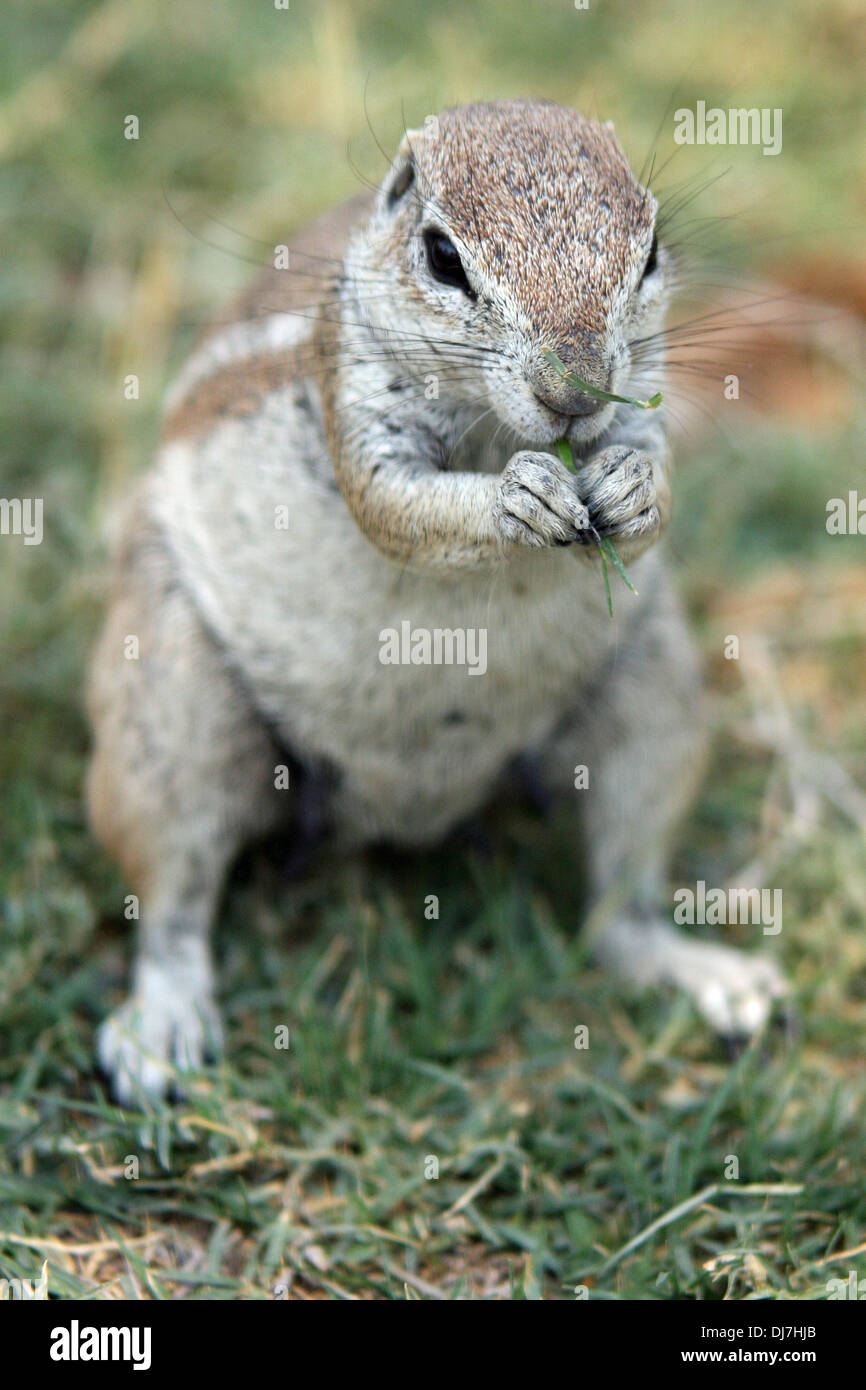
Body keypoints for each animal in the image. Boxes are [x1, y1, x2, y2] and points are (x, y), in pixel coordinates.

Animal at [87, 100, 787, 1104]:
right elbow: (398, 508)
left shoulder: (647, 398)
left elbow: (657, 482)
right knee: (173, 905)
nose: (573, 395)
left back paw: (706, 975)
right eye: (443, 256)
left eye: (652, 249)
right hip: (170, 709)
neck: (495, 428)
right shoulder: (356, 407)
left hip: (652, 698)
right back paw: (160, 1027)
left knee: (620, 910)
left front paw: (628, 493)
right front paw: (521, 499)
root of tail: (393, 814)